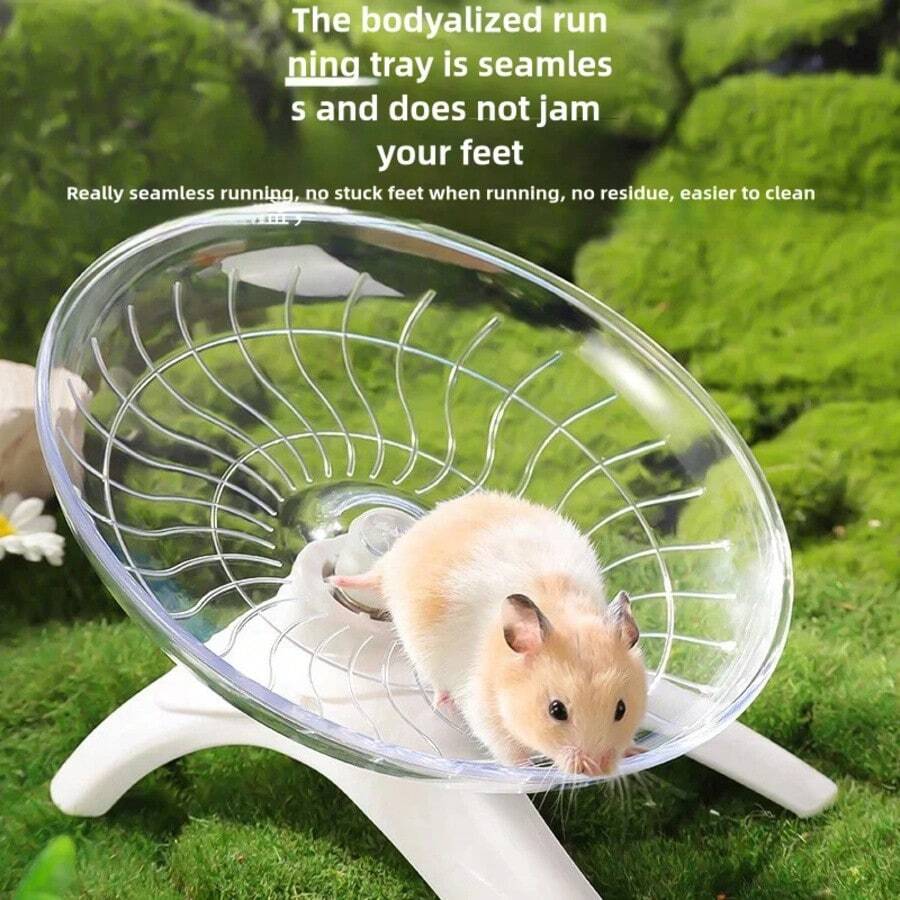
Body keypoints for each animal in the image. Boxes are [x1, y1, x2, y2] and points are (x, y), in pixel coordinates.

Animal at [329, 491, 647, 775]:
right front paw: (525, 770)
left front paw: (636, 749)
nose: (597, 771)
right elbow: (505, 748)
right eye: (556, 710)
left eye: (621, 709)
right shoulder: (482, 707)